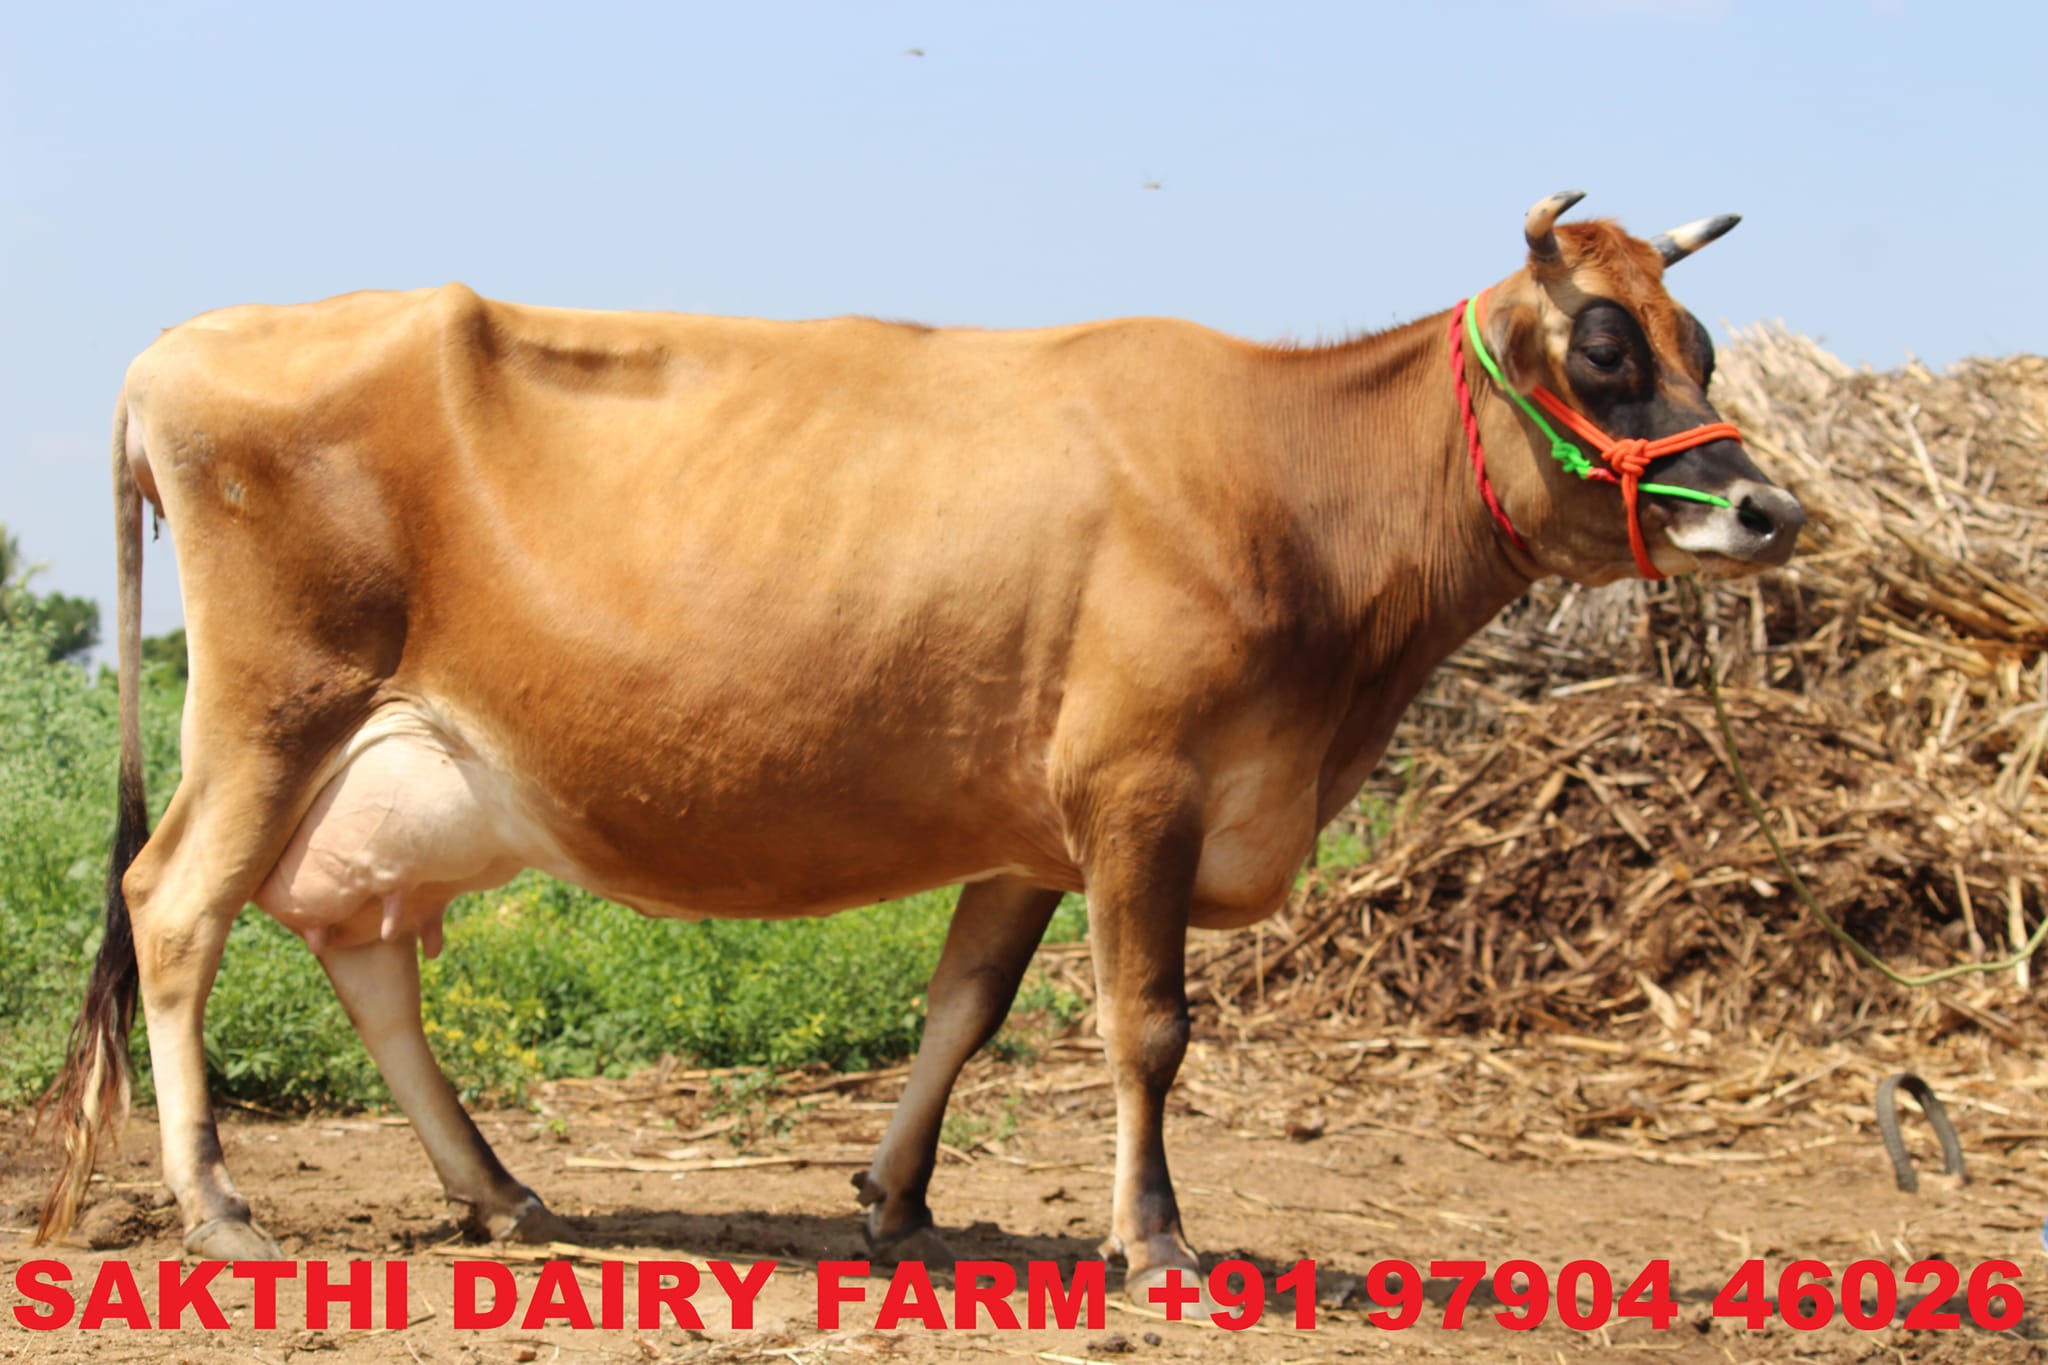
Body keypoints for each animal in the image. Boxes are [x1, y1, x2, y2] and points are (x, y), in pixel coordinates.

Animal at [38, 193, 1801, 1298]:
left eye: (1701, 339)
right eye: (1604, 347)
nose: (1770, 509)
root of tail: (182, 342)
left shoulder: (1034, 824)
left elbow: (966, 1007)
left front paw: (896, 1199)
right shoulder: (1142, 784)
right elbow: (1147, 1025)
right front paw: (1155, 1242)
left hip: (387, 762)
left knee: (359, 947)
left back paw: (498, 1190)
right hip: (275, 702)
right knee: (177, 906)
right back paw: (218, 1206)